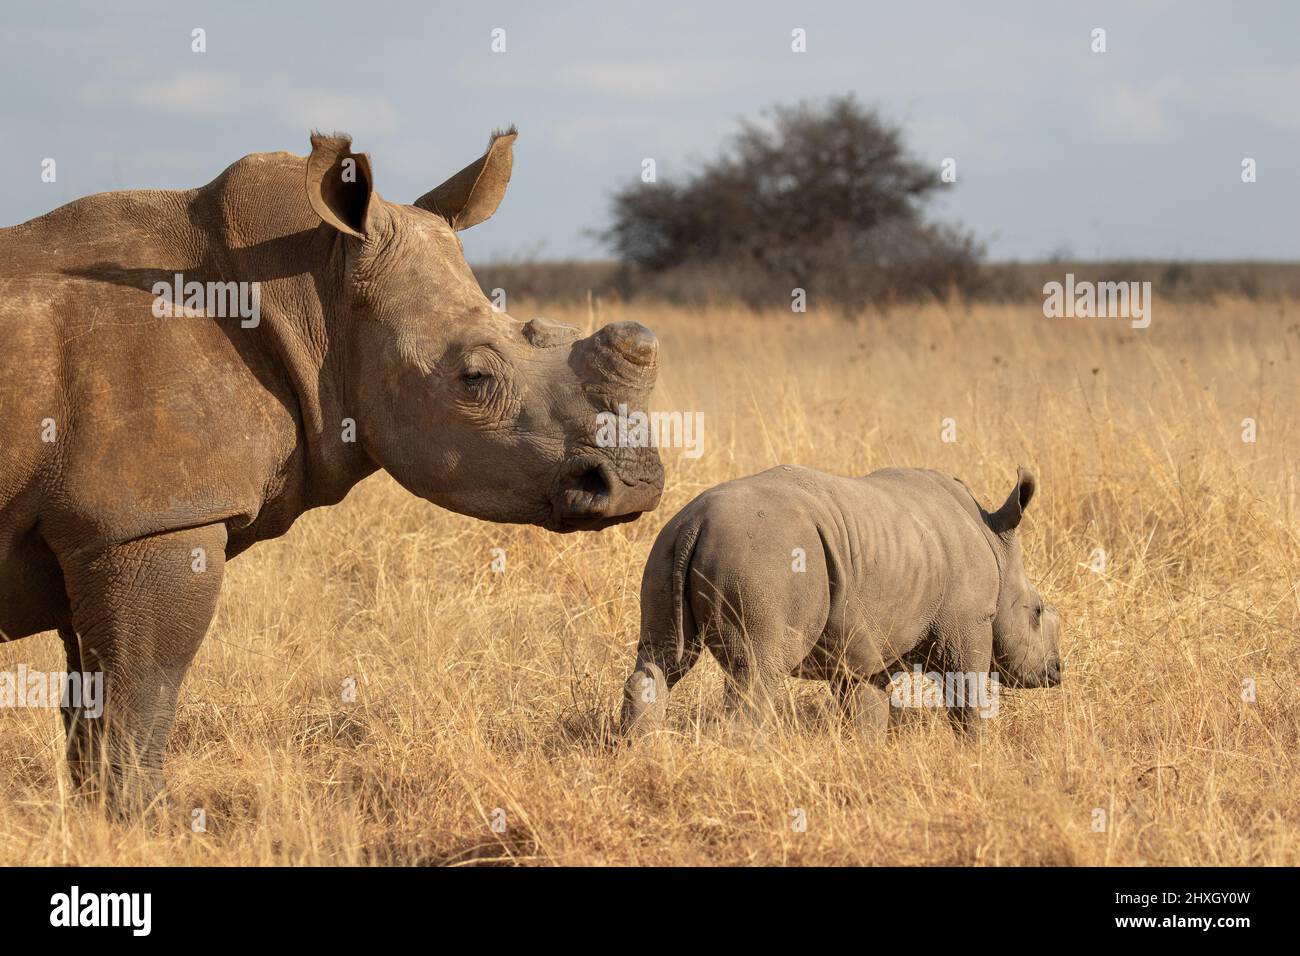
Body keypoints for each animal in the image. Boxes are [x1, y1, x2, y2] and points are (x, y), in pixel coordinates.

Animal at [0, 128, 664, 812]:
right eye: (475, 379)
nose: (633, 486)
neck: (316, 293)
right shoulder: (149, 519)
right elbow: (143, 691)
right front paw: (147, 817)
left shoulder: (99, 528)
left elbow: (91, 703)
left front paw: (101, 816)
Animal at [621, 465, 1061, 737]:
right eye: (1038, 612)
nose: (1057, 671)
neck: (996, 544)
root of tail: (695, 522)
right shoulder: (967, 622)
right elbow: (968, 694)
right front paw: (977, 753)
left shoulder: (863, 646)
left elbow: (867, 710)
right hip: (763, 557)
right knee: (757, 671)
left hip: (665, 546)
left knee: (661, 659)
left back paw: (640, 752)